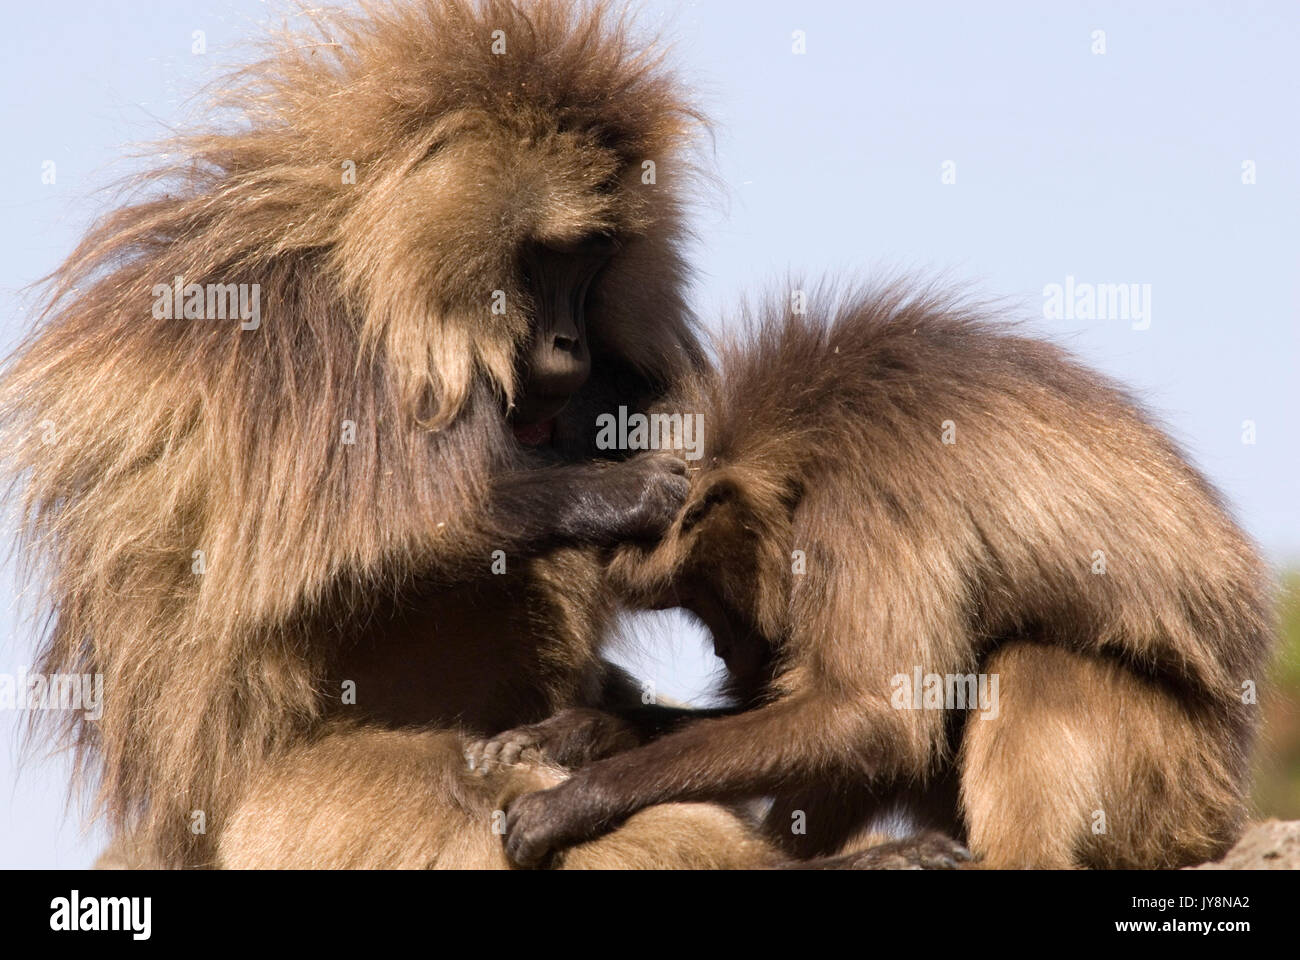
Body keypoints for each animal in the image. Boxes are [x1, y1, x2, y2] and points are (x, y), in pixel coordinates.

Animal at [1, 0, 782, 869]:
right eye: (547, 258)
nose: (570, 347)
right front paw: (622, 493)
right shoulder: (305, 350)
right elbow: (339, 558)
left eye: (595, 258)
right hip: (298, 810)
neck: (385, 290)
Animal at [484, 282, 1275, 870]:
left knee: (1027, 665)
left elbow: (873, 713)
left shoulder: (868, 503)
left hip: (1168, 789)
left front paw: (580, 798)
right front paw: (583, 732)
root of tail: (1227, 808)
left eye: (702, 598)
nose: (724, 653)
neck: (806, 451)